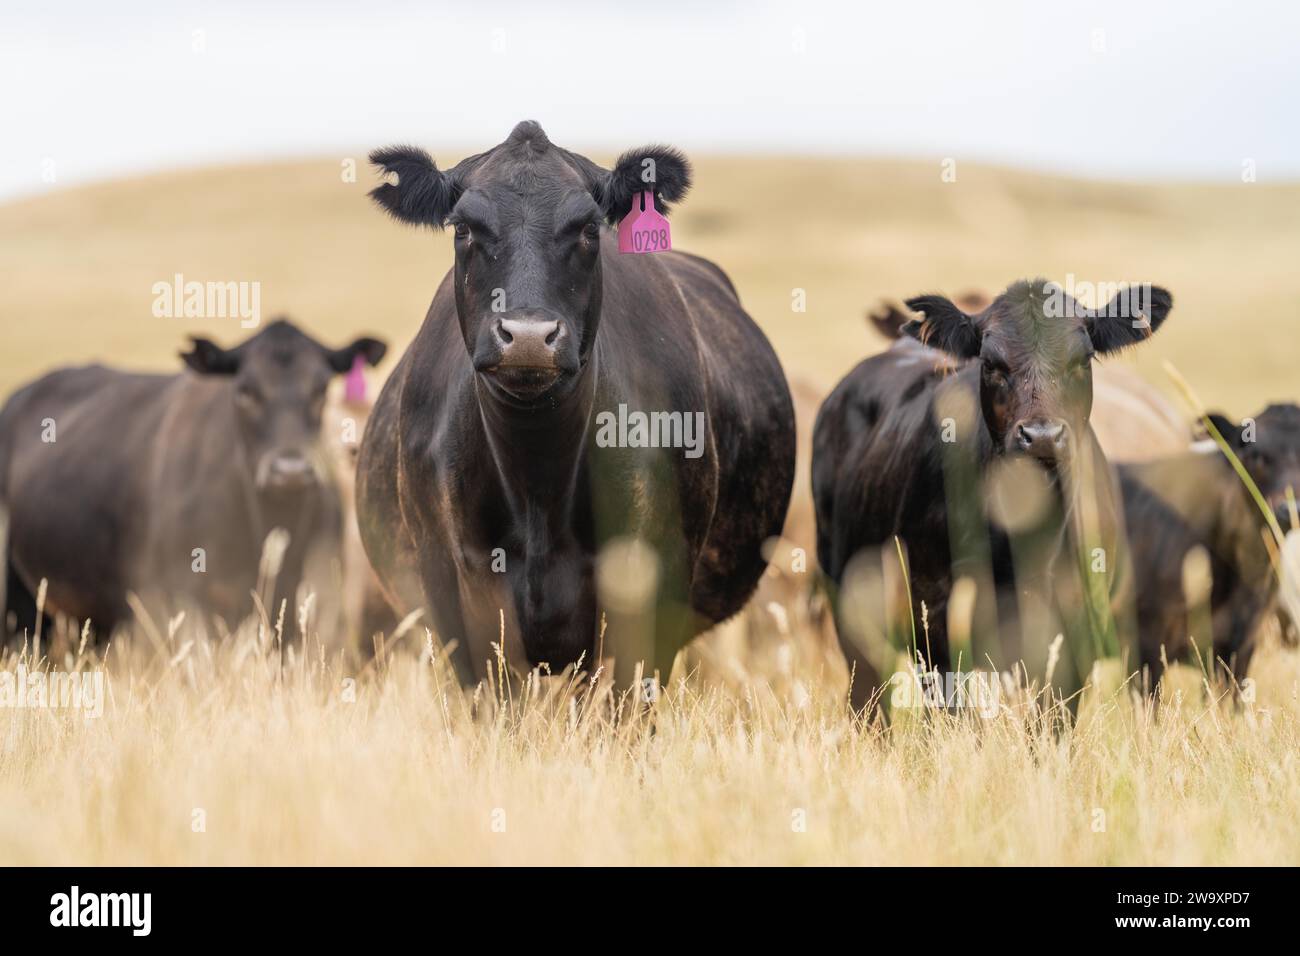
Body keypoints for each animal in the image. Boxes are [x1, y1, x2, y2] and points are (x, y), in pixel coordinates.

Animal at [355, 120, 796, 690]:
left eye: (588, 229)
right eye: (463, 229)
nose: (526, 336)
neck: (537, 485)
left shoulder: (649, 591)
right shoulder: (461, 593)